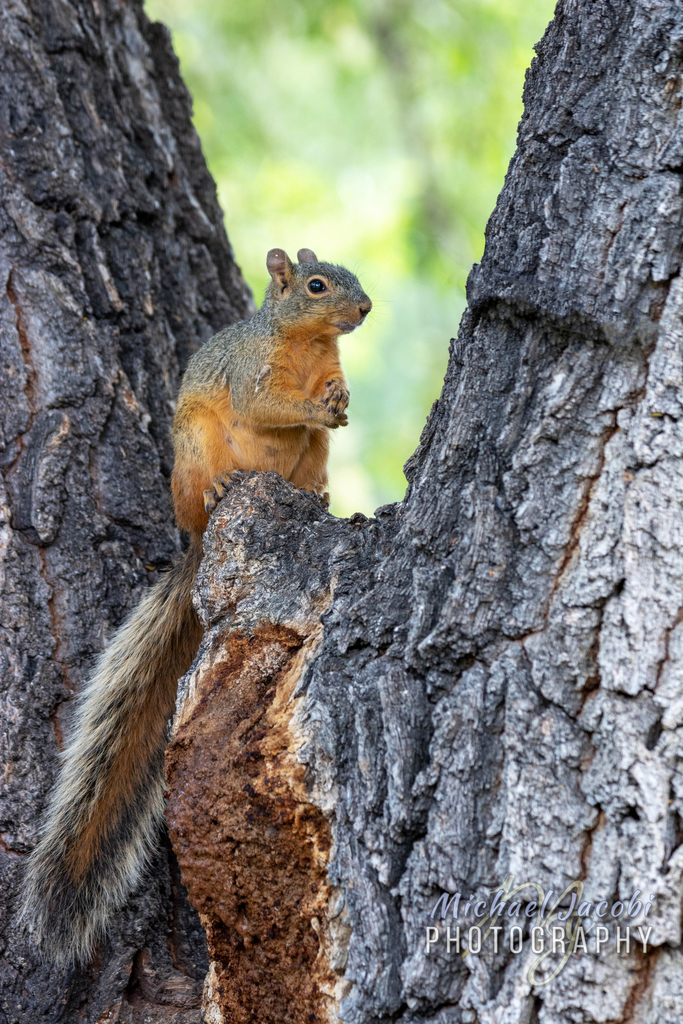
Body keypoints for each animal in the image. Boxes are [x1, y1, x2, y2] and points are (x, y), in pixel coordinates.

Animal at [21, 247, 372, 964]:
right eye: (317, 284)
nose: (364, 309)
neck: (303, 341)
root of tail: (200, 546)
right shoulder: (249, 373)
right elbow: (266, 404)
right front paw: (315, 406)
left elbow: (329, 390)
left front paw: (339, 399)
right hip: (193, 448)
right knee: (207, 488)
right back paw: (220, 489)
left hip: (309, 463)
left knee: (310, 469)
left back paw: (317, 497)